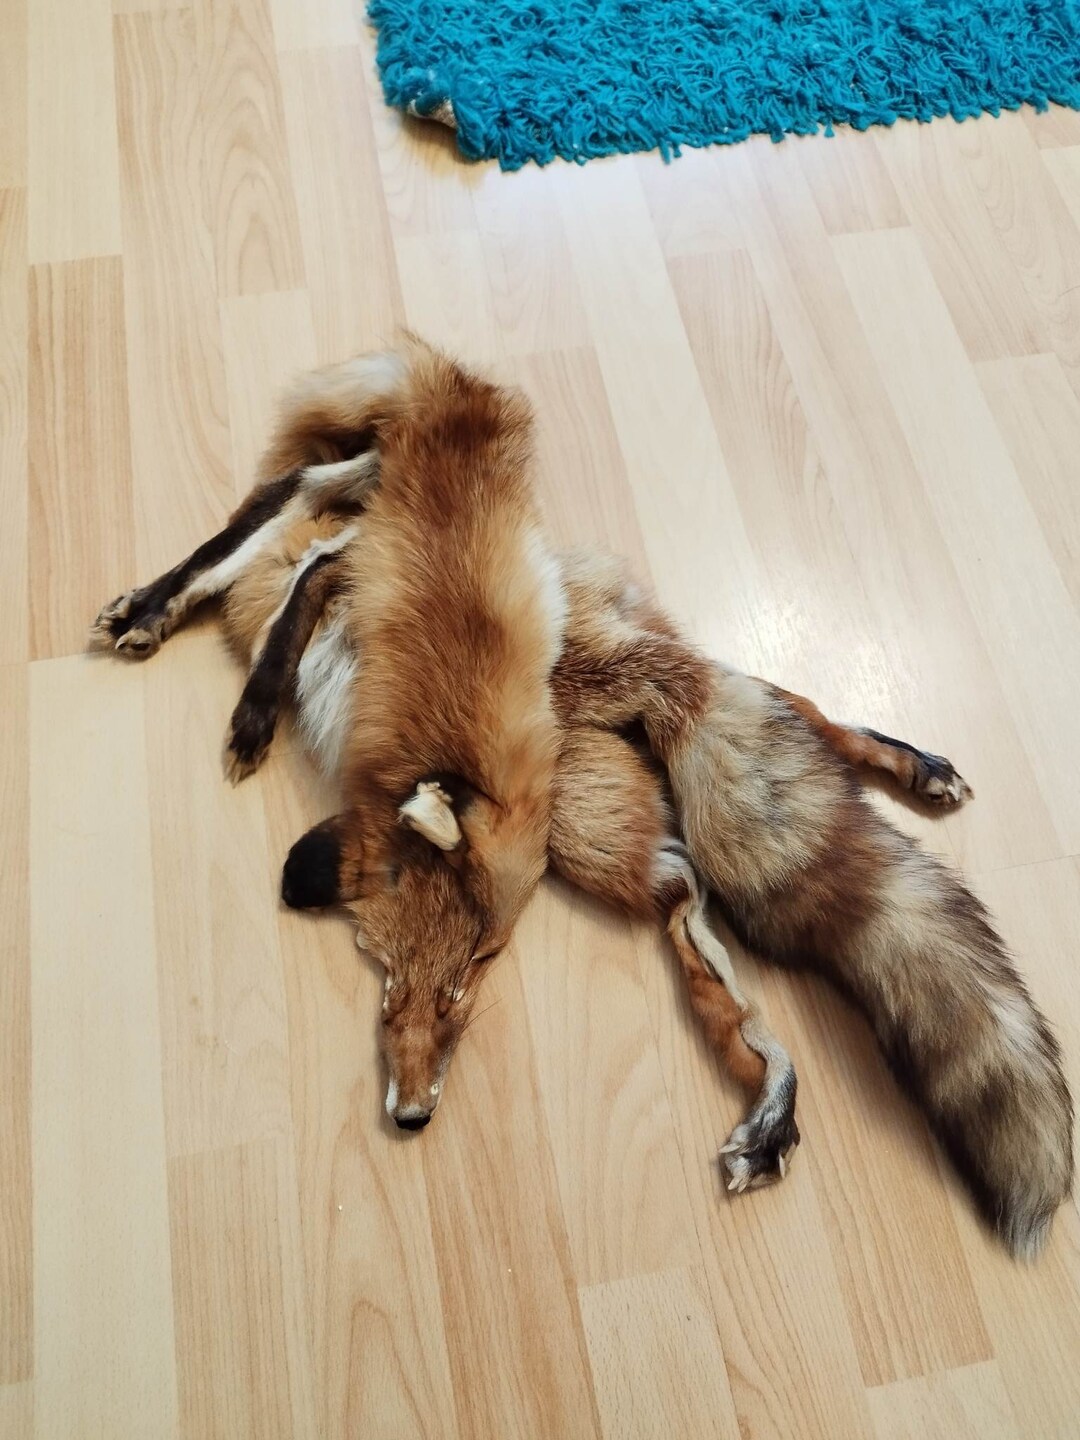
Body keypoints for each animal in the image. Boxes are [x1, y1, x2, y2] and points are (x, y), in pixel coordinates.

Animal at [90, 340, 1073, 1253]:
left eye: (467, 982)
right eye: (392, 986)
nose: (411, 1117)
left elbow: (295, 561)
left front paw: (244, 679)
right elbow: (279, 550)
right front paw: (199, 630)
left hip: (598, 766)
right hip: (607, 791)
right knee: (727, 821)